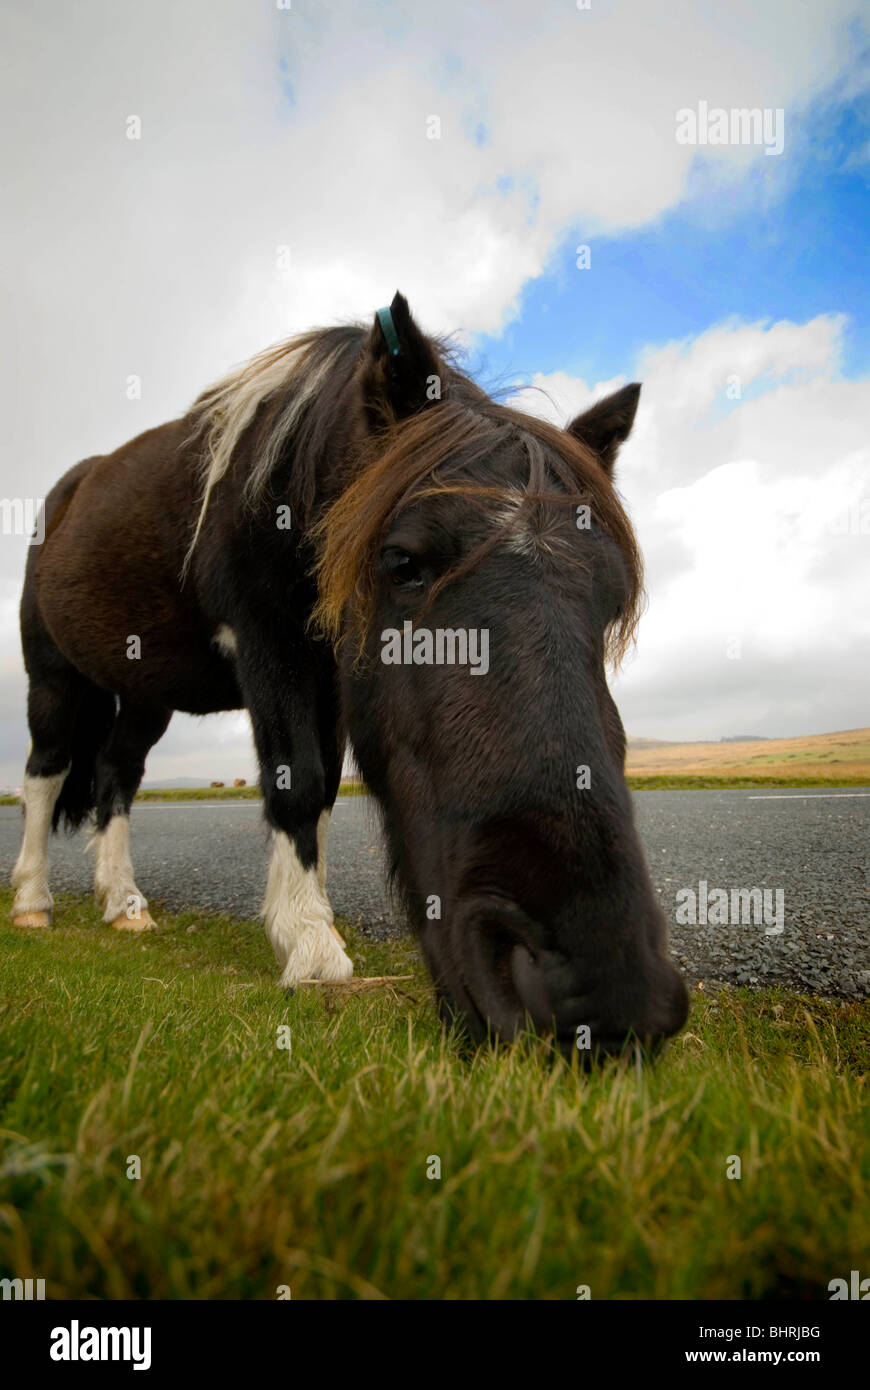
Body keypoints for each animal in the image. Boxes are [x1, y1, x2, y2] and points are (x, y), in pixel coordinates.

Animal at [11, 292, 688, 1058]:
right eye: (403, 562)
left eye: (613, 600)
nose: (605, 990)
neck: (285, 474)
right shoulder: (272, 646)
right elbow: (298, 783)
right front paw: (309, 945)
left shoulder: (332, 680)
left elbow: (325, 791)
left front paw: (306, 921)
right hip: (53, 677)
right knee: (45, 774)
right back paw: (32, 901)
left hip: (145, 693)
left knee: (116, 779)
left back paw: (123, 903)